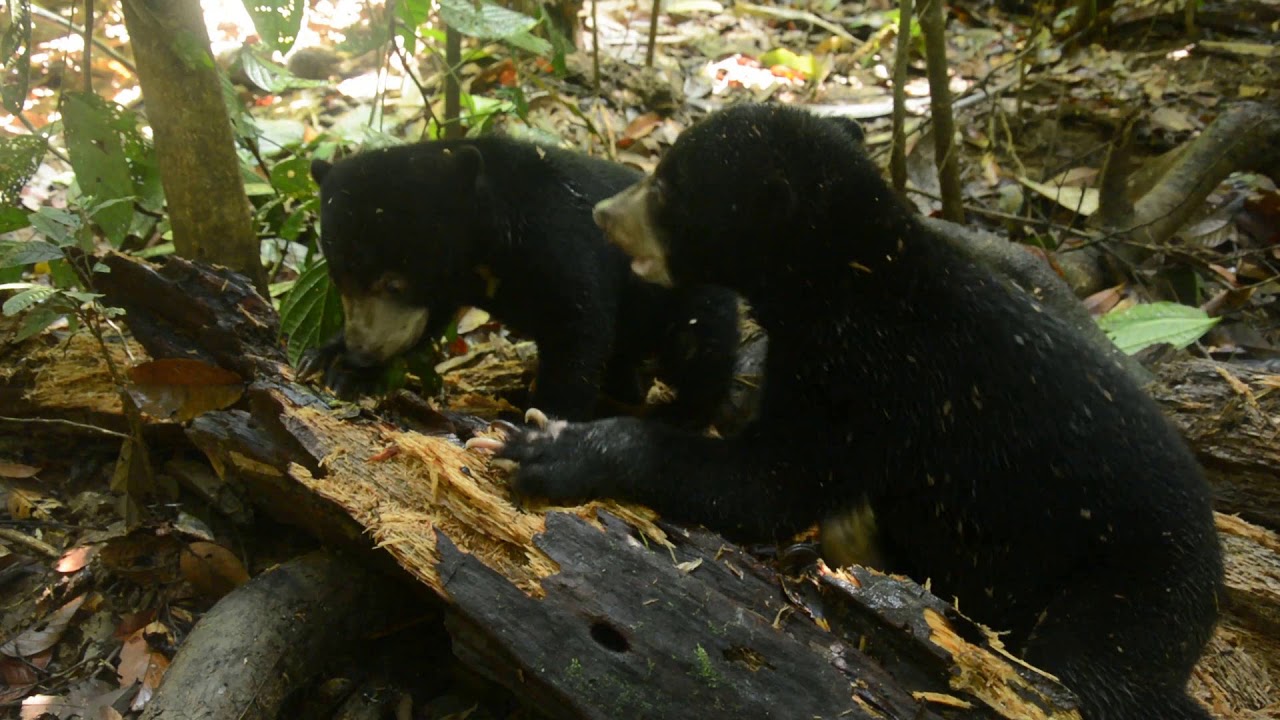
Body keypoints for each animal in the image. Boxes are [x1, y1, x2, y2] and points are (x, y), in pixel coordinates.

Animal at [298, 136, 740, 426]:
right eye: (338, 279)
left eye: (393, 282)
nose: (362, 350)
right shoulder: (448, 284)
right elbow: (423, 324)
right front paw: (330, 363)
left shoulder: (562, 241)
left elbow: (578, 330)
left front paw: (544, 421)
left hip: (692, 297)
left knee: (702, 351)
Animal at [485, 104, 1223, 720]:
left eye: (667, 189)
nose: (602, 211)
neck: (849, 282)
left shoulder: (869, 382)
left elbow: (766, 484)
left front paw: (550, 447)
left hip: (1139, 587)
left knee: (1086, 670)